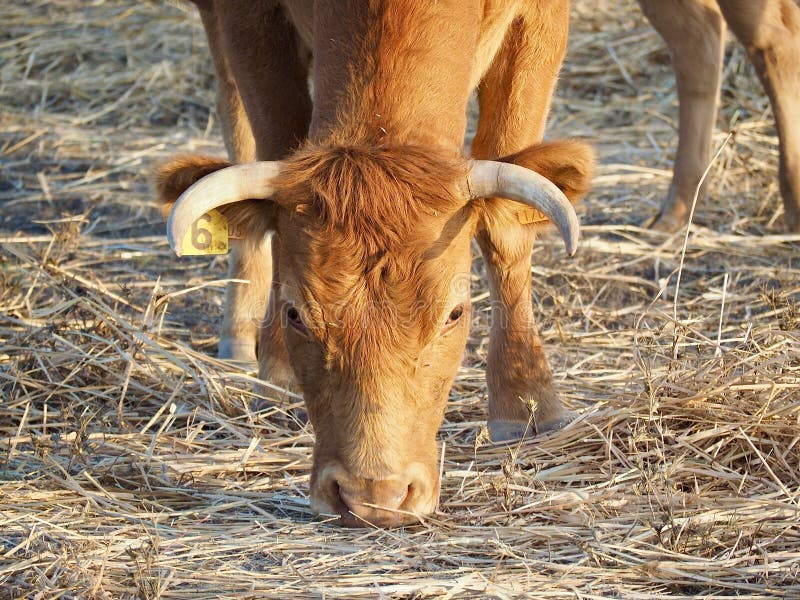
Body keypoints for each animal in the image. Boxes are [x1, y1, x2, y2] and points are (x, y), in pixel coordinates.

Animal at [156, 0, 594, 527]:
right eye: (294, 314)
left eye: (454, 314)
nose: (374, 496)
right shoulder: (245, 20)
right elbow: (271, 148)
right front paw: (277, 360)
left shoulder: (539, 19)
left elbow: (507, 228)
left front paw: (527, 402)